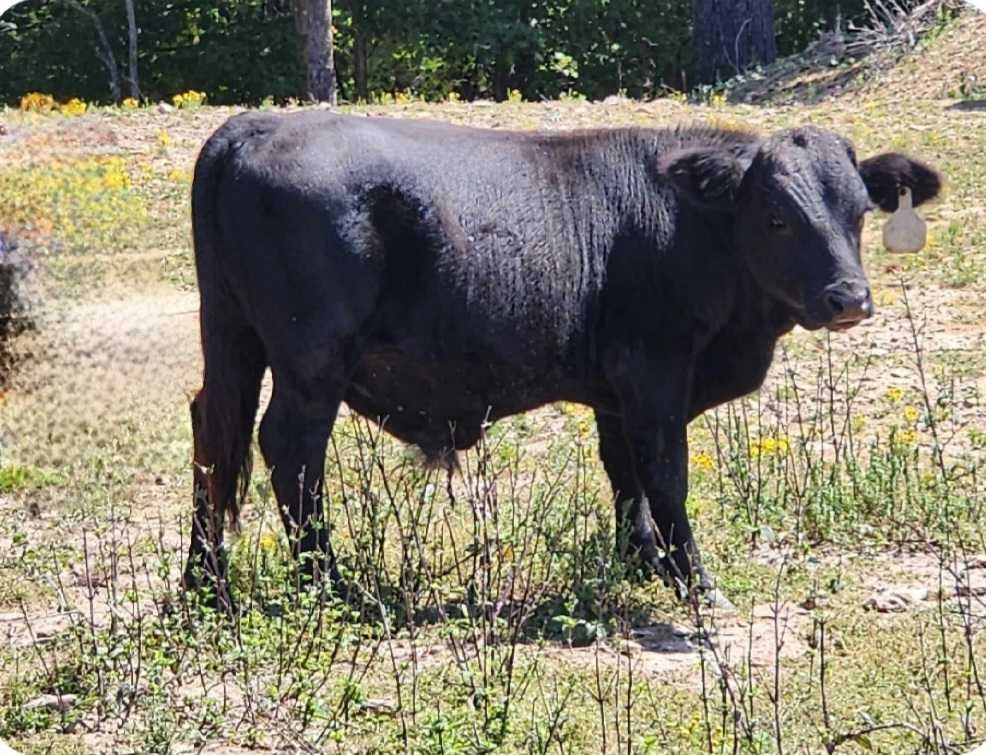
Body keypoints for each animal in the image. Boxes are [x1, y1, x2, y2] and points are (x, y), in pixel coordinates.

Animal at [181, 111, 941, 610]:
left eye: (858, 211)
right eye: (777, 217)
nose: (849, 298)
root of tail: (252, 126)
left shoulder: (615, 393)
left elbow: (625, 476)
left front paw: (642, 559)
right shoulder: (654, 374)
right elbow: (665, 475)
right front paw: (694, 582)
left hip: (231, 340)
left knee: (213, 436)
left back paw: (205, 582)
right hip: (312, 363)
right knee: (288, 449)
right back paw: (330, 585)